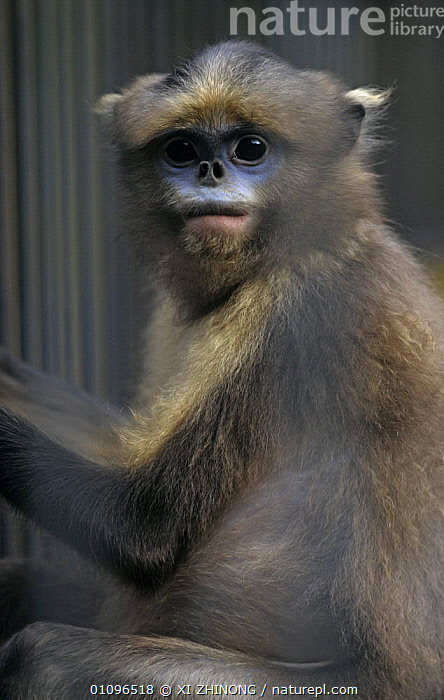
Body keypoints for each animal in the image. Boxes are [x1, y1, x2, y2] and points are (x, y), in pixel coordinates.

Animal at [0, 40, 443, 699]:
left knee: (43, 657)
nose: (210, 173)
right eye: (181, 150)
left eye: (249, 149)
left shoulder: (296, 309)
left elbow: (144, 529)